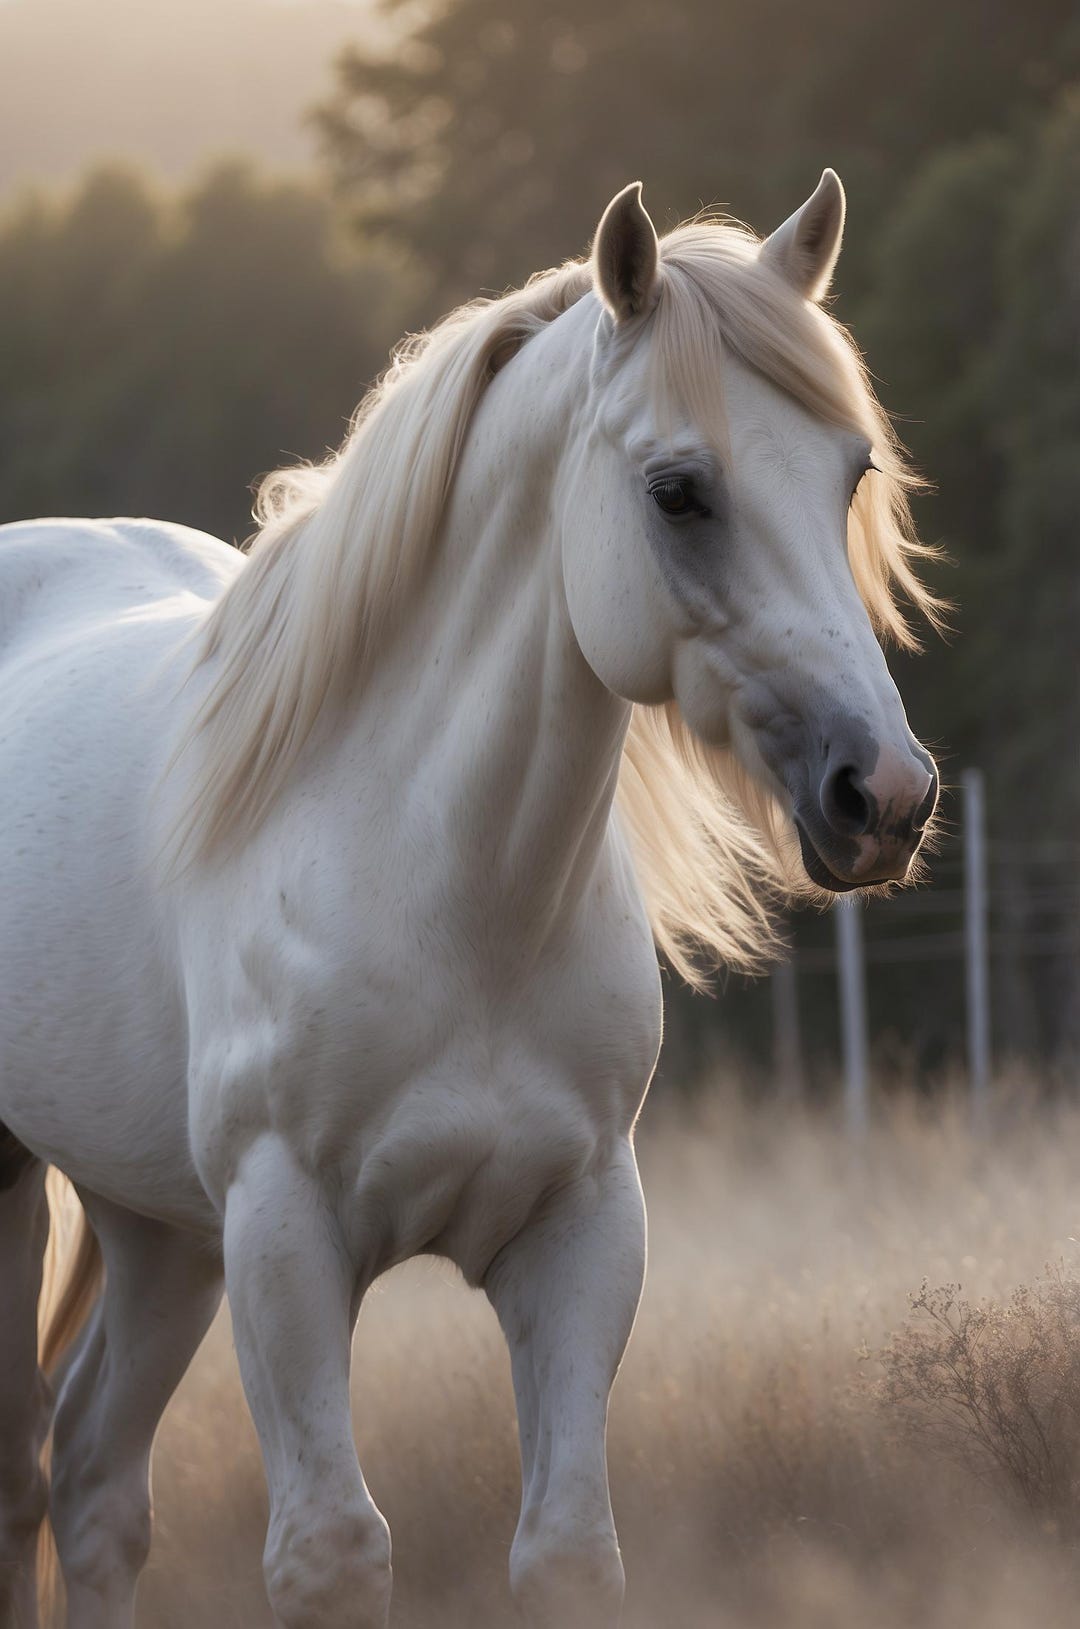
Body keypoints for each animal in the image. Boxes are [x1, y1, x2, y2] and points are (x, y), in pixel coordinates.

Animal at [0, 169, 941, 1629]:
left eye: (853, 473)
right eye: (680, 492)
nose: (883, 794)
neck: (450, 894)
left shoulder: (582, 1230)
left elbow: (567, 1547)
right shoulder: (285, 1236)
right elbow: (332, 1548)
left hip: (159, 1228)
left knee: (94, 1483)